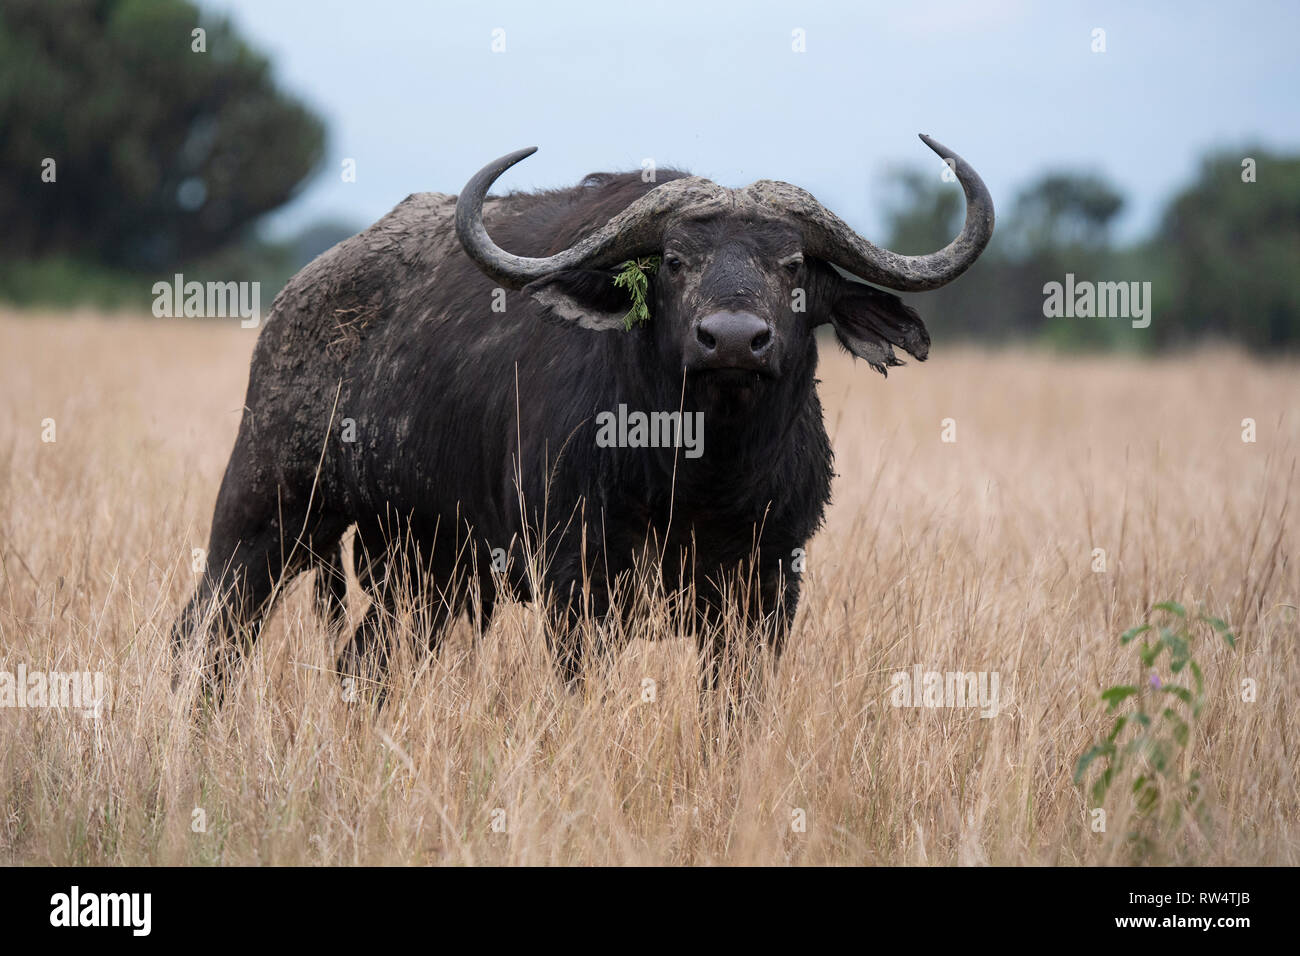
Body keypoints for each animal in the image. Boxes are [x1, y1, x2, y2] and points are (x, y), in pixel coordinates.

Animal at [171, 134, 993, 700]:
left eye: (793, 265)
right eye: (673, 263)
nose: (732, 338)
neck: (701, 470)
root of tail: (299, 295)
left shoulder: (766, 590)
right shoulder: (578, 581)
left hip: (434, 569)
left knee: (364, 662)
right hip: (264, 512)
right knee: (203, 640)